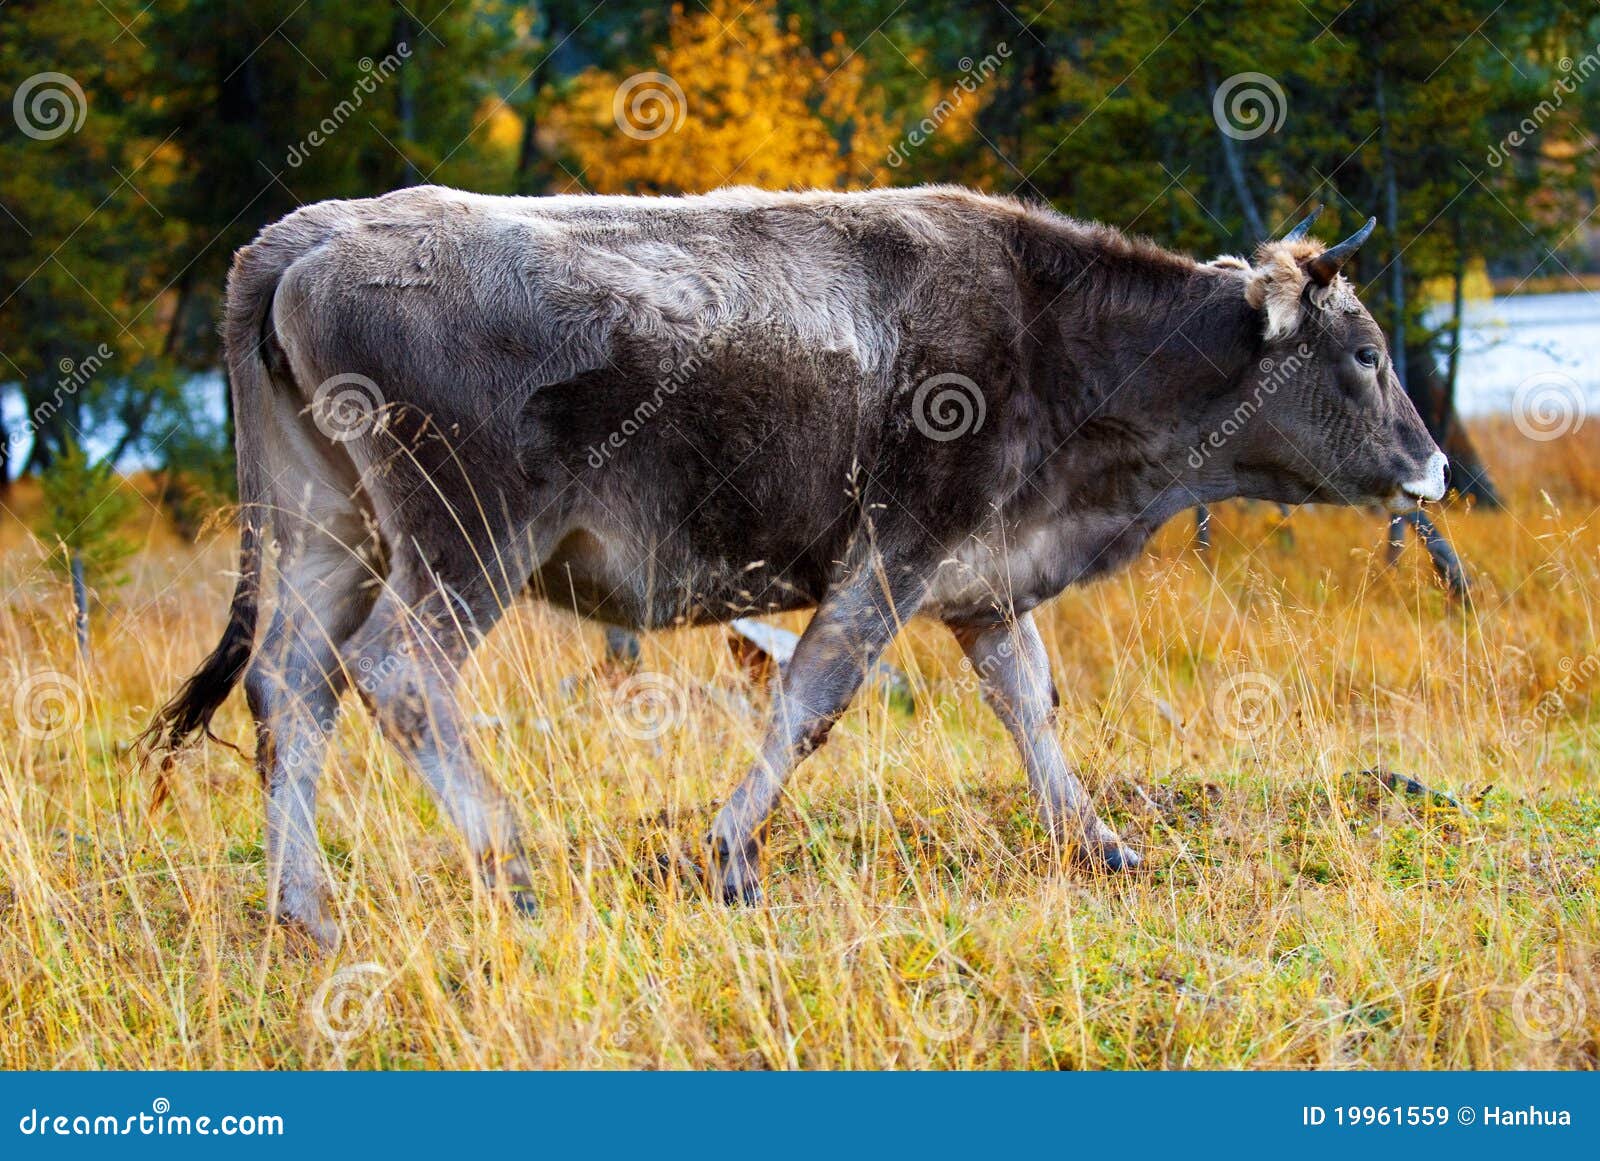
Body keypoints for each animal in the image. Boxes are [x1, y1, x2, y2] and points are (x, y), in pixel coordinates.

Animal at [145, 185, 1447, 947]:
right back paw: (507, 867)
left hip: (329, 534)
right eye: (1368, 353)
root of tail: (296, 237)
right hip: (462, 542)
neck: (1053, 330)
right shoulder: (895, 552)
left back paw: (305, 909)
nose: (1432, 468)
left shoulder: (981, 581)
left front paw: (1102, 844)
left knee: (290, 686)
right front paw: (729, 858)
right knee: (397, 674)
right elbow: (814, 698)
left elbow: (1030, 705)